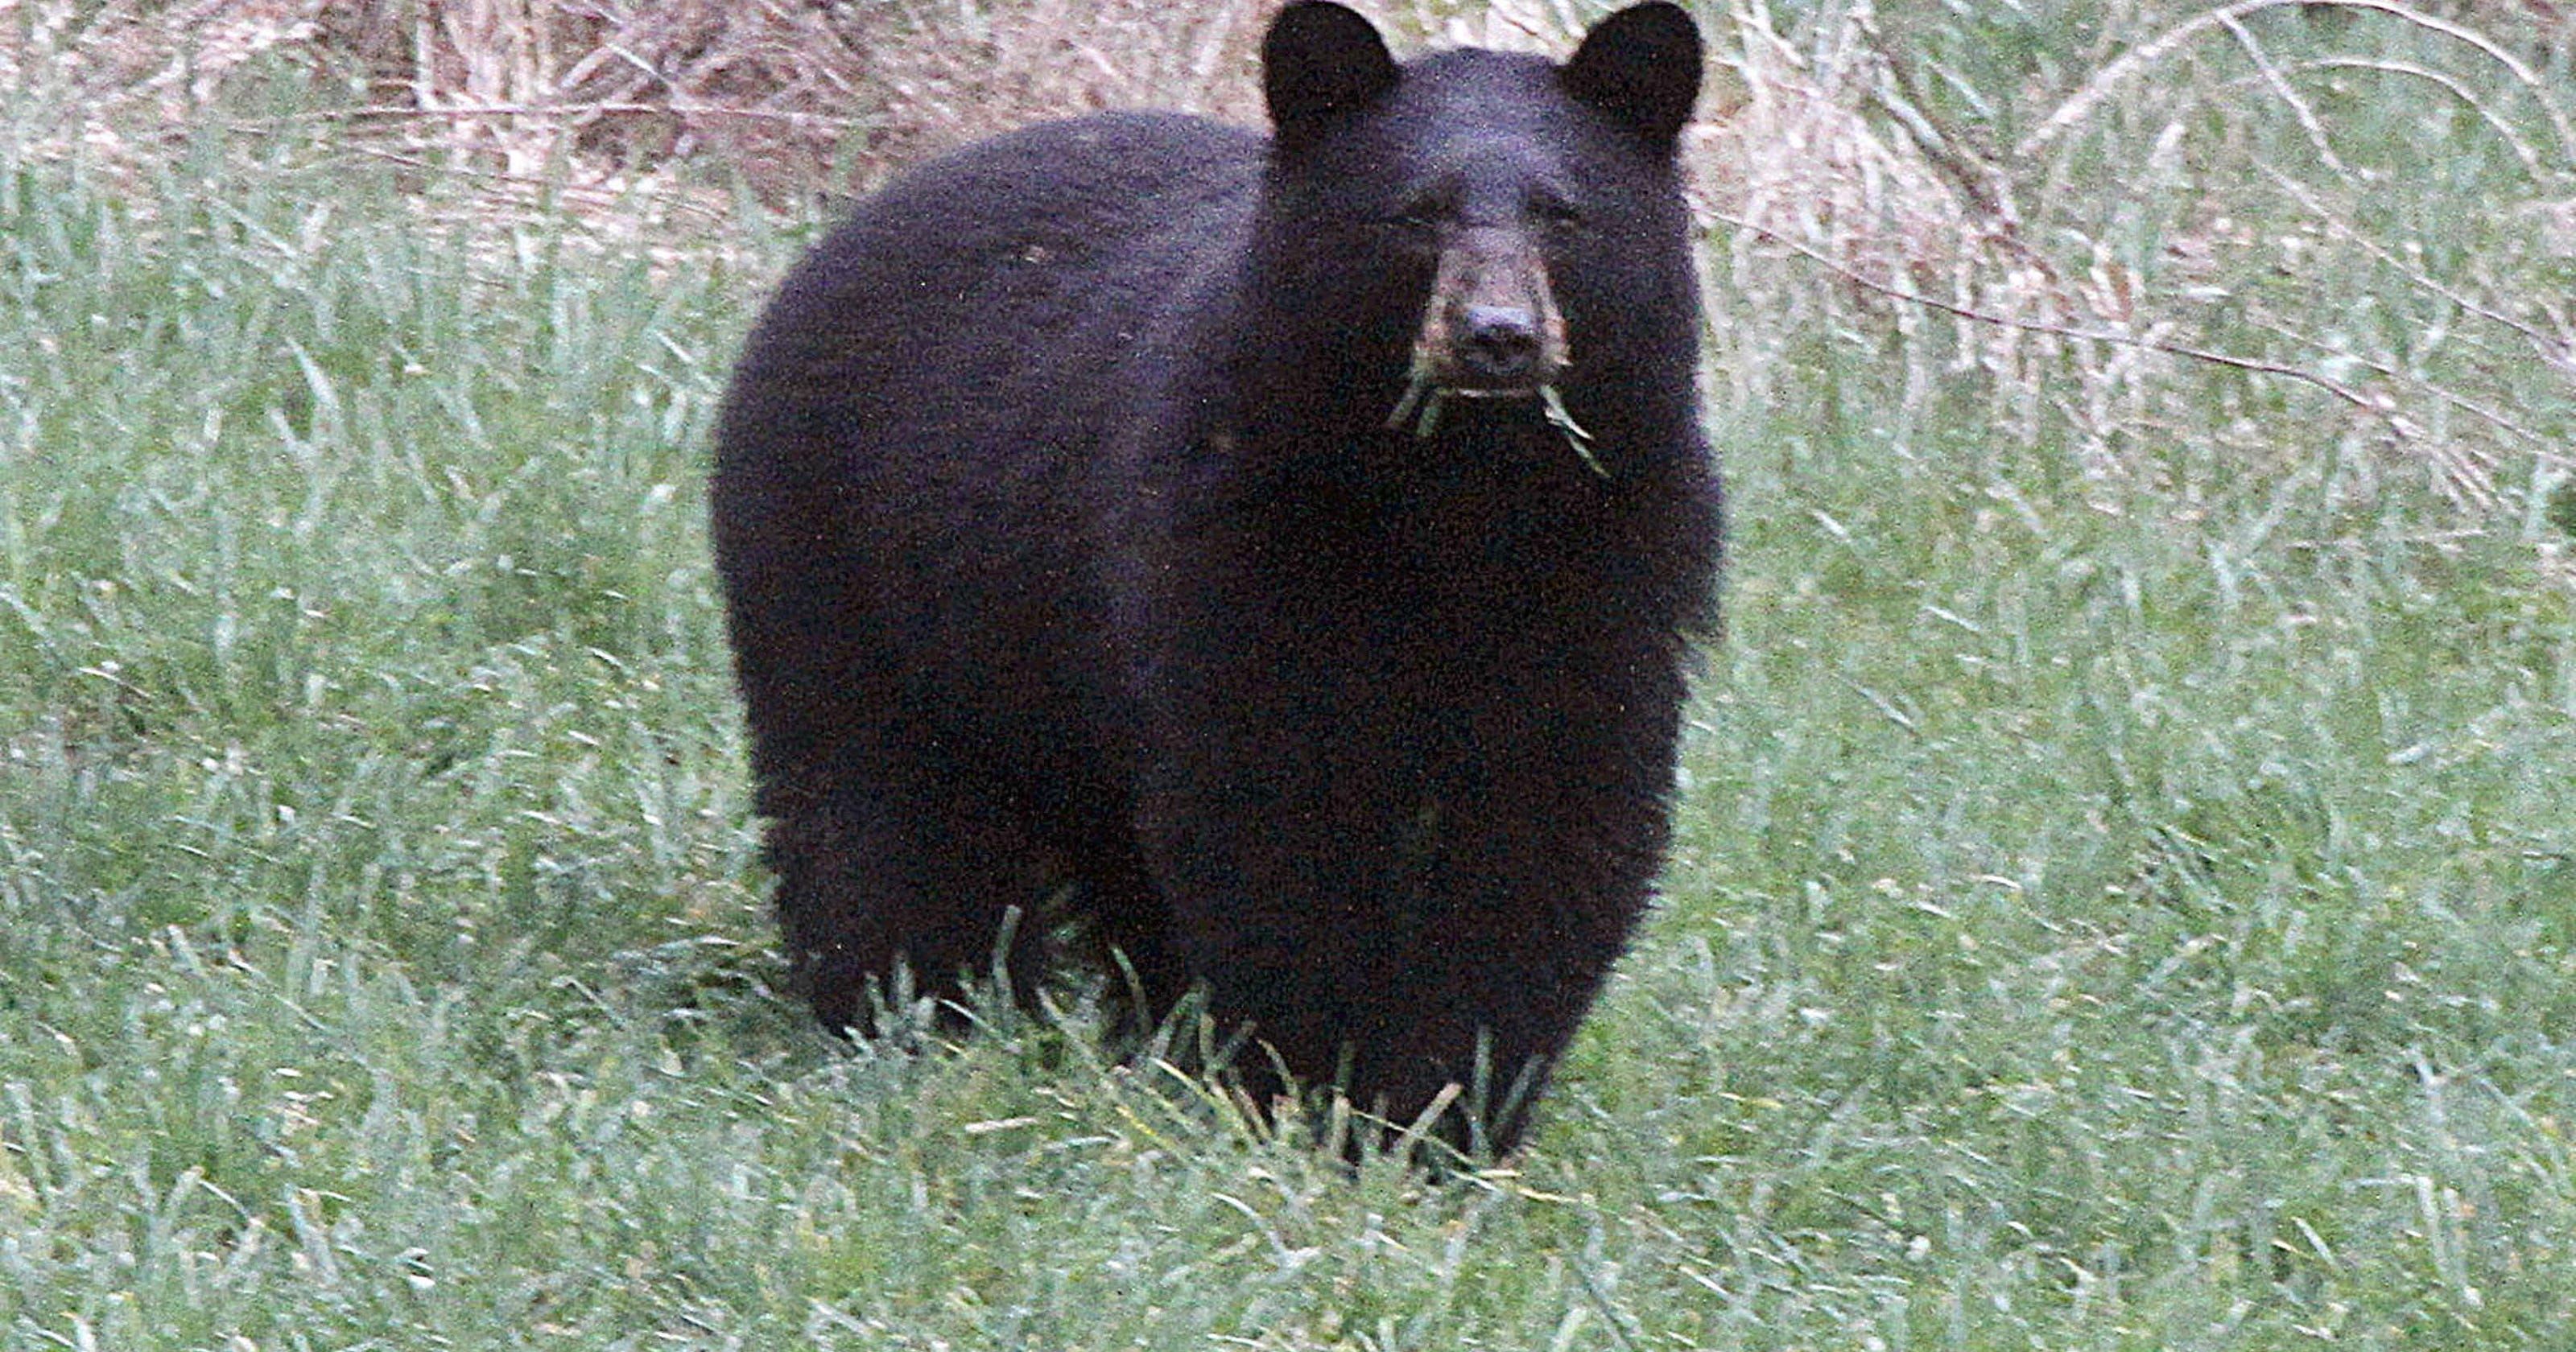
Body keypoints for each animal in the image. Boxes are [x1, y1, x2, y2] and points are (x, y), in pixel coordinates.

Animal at [709, 1, 1719, 1157]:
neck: (1456, 500)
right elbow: (1266, 820)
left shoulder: (1611, 572)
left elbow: (1548, 835)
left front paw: (1442, 1117)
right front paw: (1306, 1090)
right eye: (1415, 215)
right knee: (876, 807)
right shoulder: (1236, 546)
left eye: (1562, 214)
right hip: (852, 564)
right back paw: (915, 1012)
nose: (1495, 338)